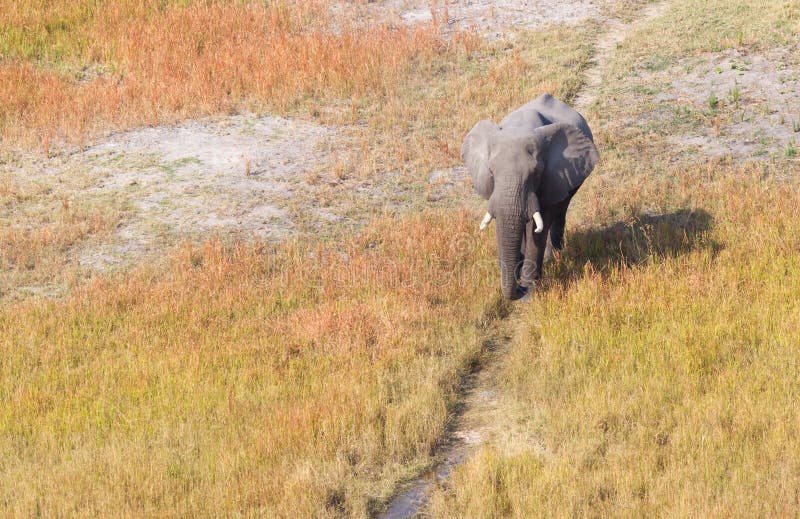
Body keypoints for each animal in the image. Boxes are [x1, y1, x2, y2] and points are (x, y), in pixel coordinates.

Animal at [462, 93, 599, 300]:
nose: (517, 291)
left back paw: (555, 257)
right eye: (491, 173)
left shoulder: (553, 176)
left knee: (560, 212)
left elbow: (538, 226)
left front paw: (528, 293)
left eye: (535, 174)